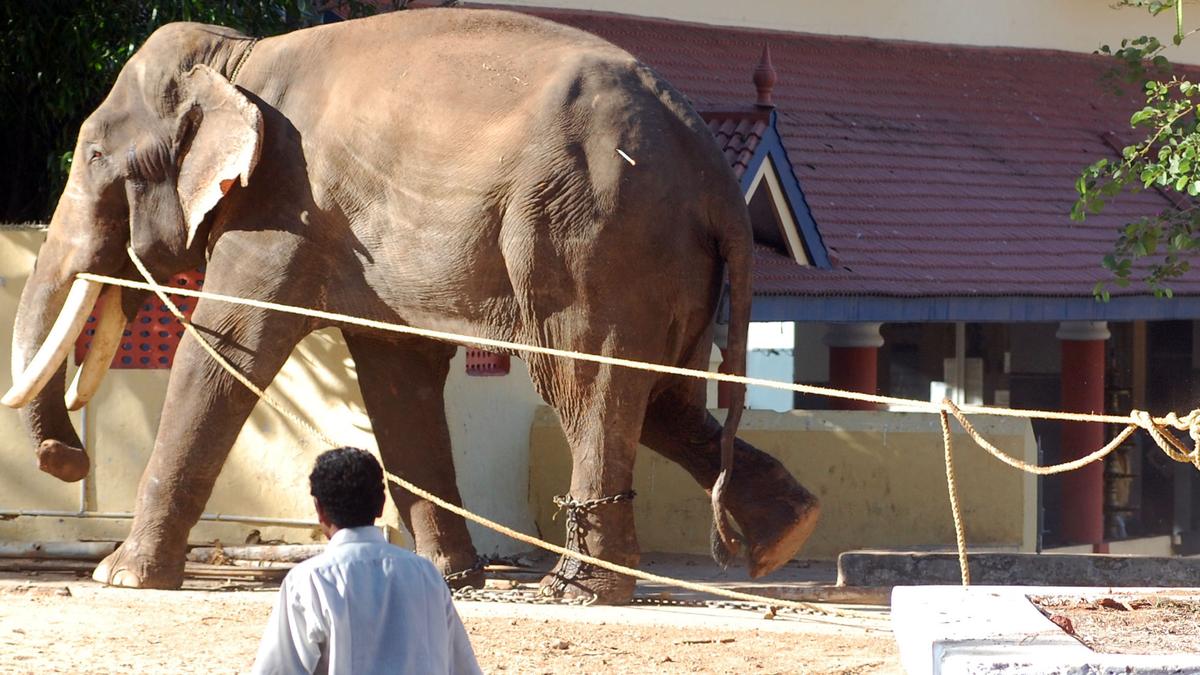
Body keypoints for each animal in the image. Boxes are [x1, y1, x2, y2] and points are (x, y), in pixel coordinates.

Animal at [3, 8, 820, 604]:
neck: (236, 59)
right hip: (667, 262)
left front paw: (119, 577)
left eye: (94, 158)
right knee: (660, 398)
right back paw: (786, 533)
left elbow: (227, 348)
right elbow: (397, 379)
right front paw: (452, 580)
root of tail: (712, 169)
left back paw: (579, 590)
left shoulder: (283, 207)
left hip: (594, 237)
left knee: (585, 382)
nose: (66, 458)